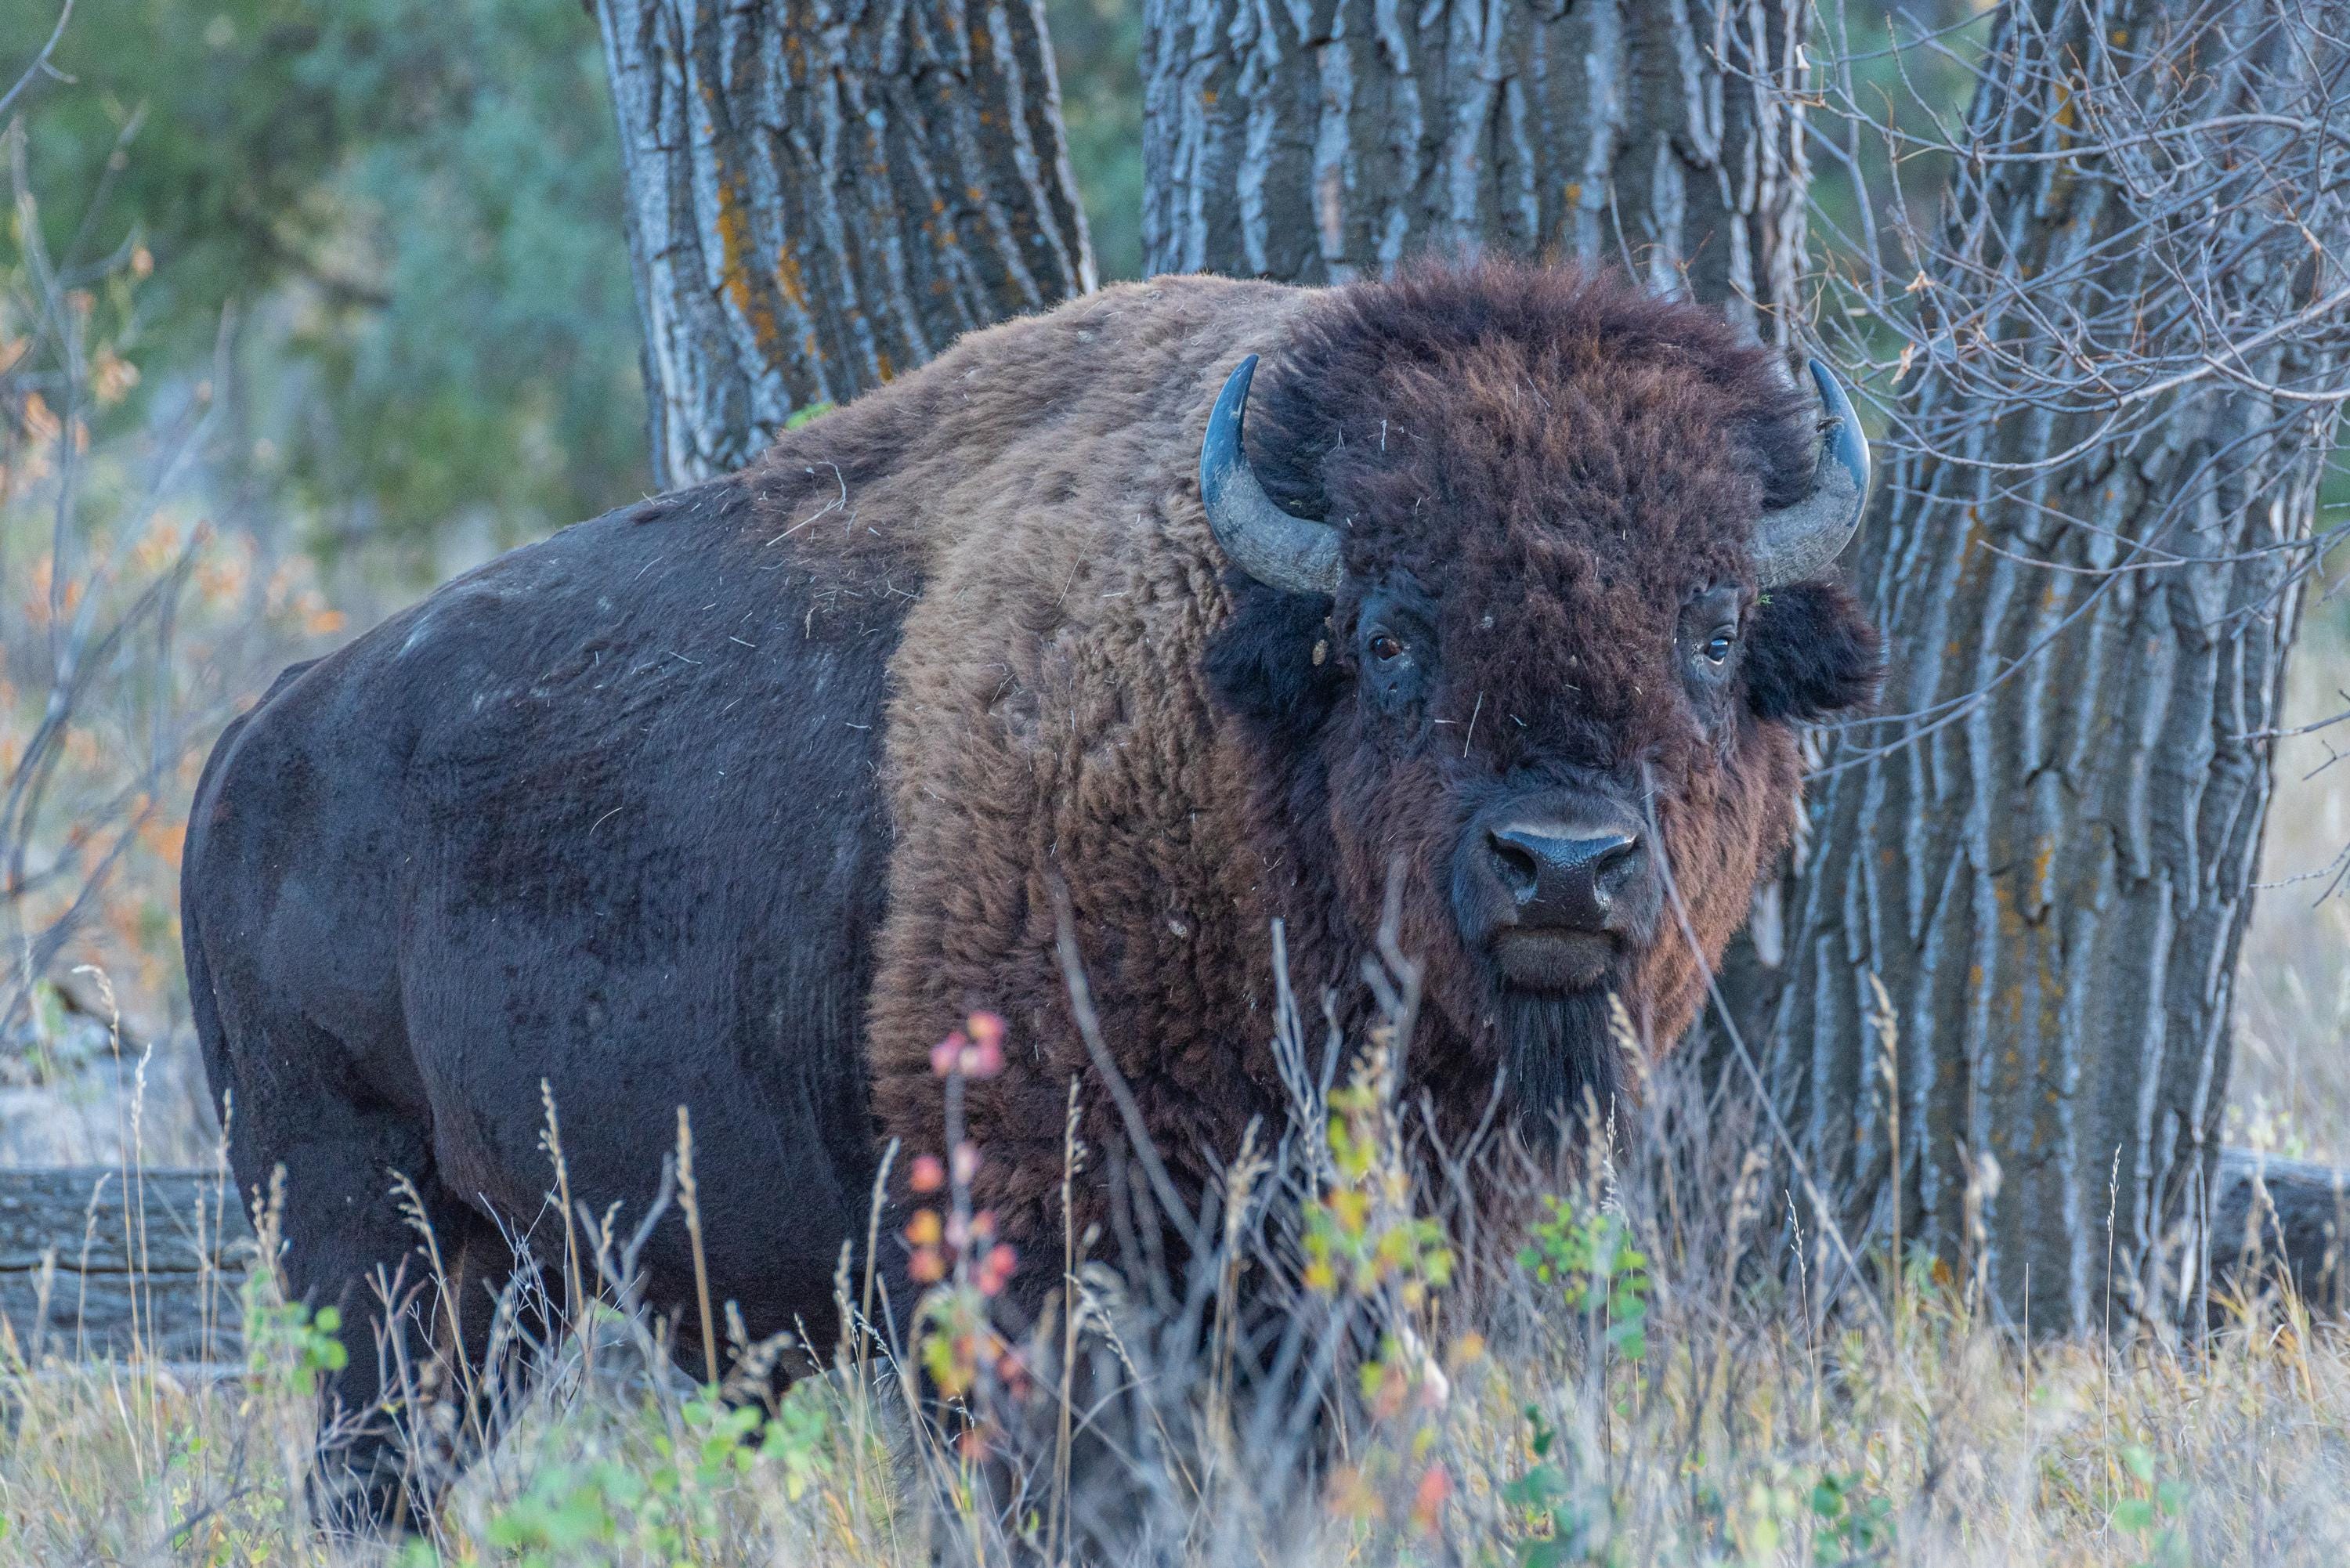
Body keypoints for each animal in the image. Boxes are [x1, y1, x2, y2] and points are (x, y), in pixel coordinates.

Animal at [182, 261, 1879, 1525]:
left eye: (1715, 628)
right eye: (1391, 631)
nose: (1564, 864)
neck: (1234, 714)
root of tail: (253, 739)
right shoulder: (1030, 1245)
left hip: (512, 1262)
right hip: (360, 1225)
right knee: (366, 1462)